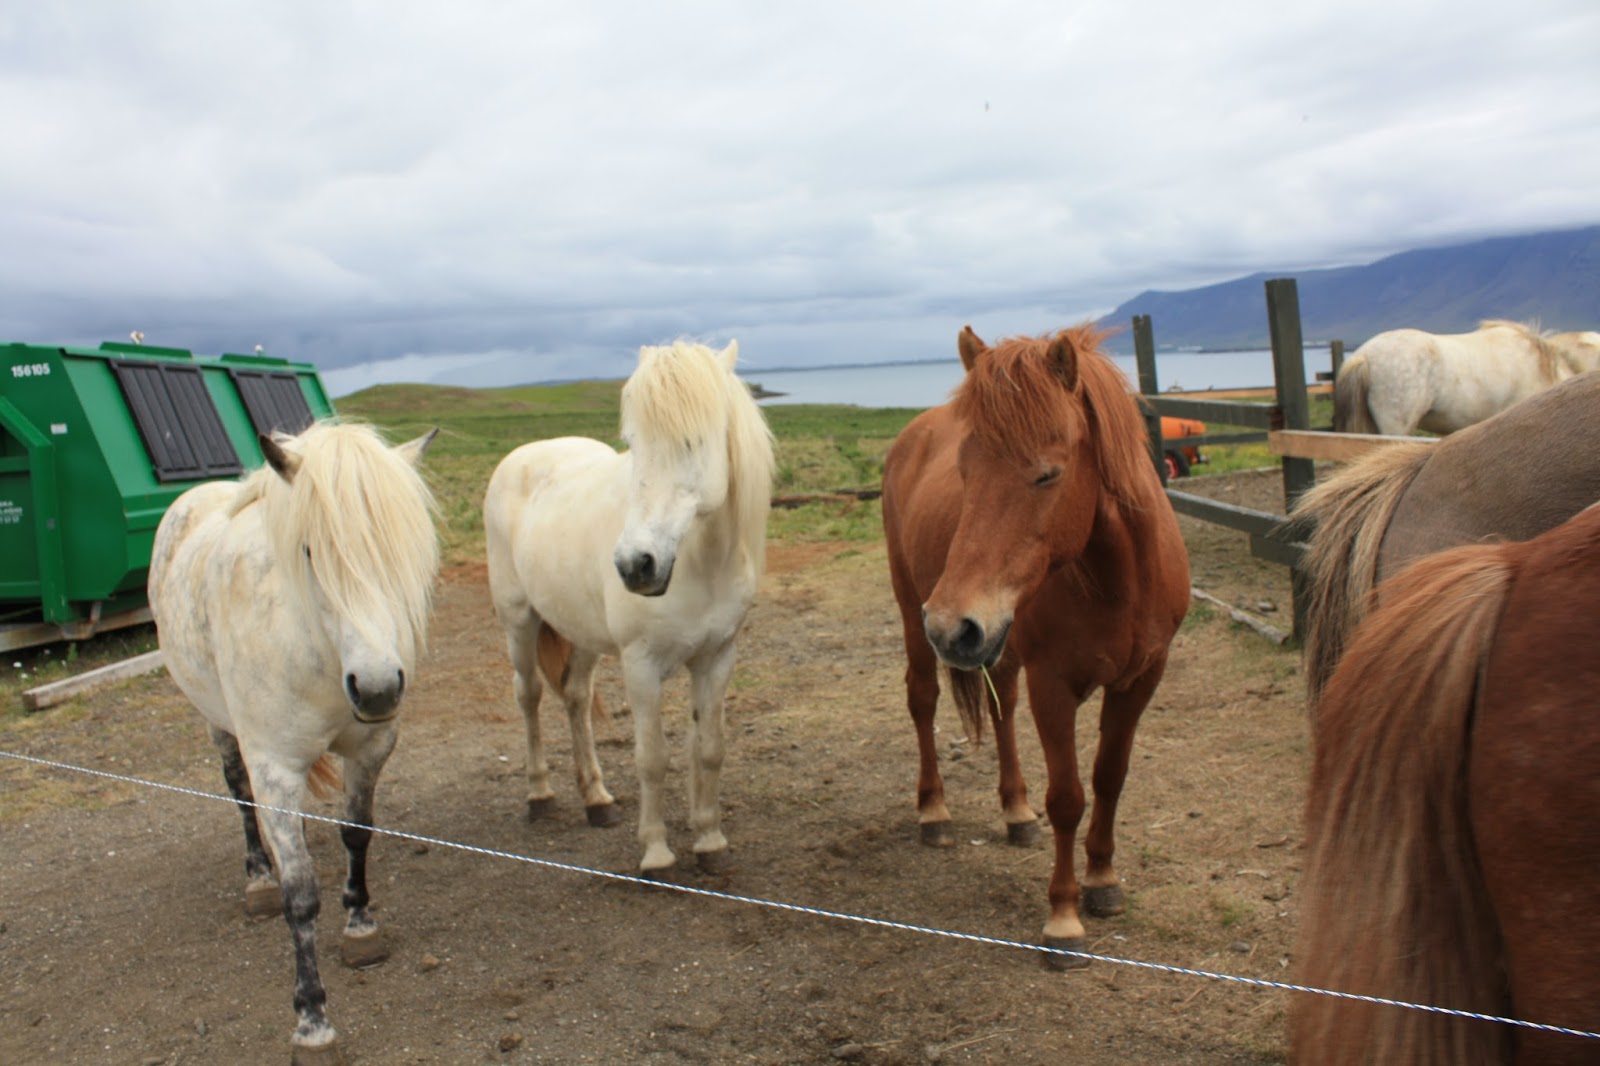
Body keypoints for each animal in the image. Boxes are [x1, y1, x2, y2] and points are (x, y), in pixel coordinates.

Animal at [148, 421, 440, 1065]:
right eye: (310, 552)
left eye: (401, 553)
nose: (377, 687)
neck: (317, 649)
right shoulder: (274, 764)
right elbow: (300, 894)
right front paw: (312, 1022)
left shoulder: (371, 748)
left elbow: (357, 833)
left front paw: (360, 927)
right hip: (219, 723)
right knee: (240, 795)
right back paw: (260, 876)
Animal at [484, 339, 773, 875]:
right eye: (633, 444)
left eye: (693, 442)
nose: (635, 565)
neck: (701, 562)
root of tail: (525, 456)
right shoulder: (641, 665)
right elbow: (652, 757)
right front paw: (657, 853)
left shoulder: (717, 657)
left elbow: (709, 749)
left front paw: (710, 841)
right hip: (518, 620)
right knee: (529, 695)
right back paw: (540, 796)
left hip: (580, 632)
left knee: (575, 697)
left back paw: (597, 800)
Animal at [880, 325, 1190, 967]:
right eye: (965, 471)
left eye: (1048, 474)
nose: (951, 624)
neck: (1118, 581)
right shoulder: (1055, 687)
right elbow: (1068, 796)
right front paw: (1064, 920)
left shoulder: (1141, 680)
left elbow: (1110, 779)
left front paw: (1103, 881)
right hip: (912, 611)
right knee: (922, 700)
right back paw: (934, 812)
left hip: (996, 643)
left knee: (1001, 710)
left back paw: (1016, 812)